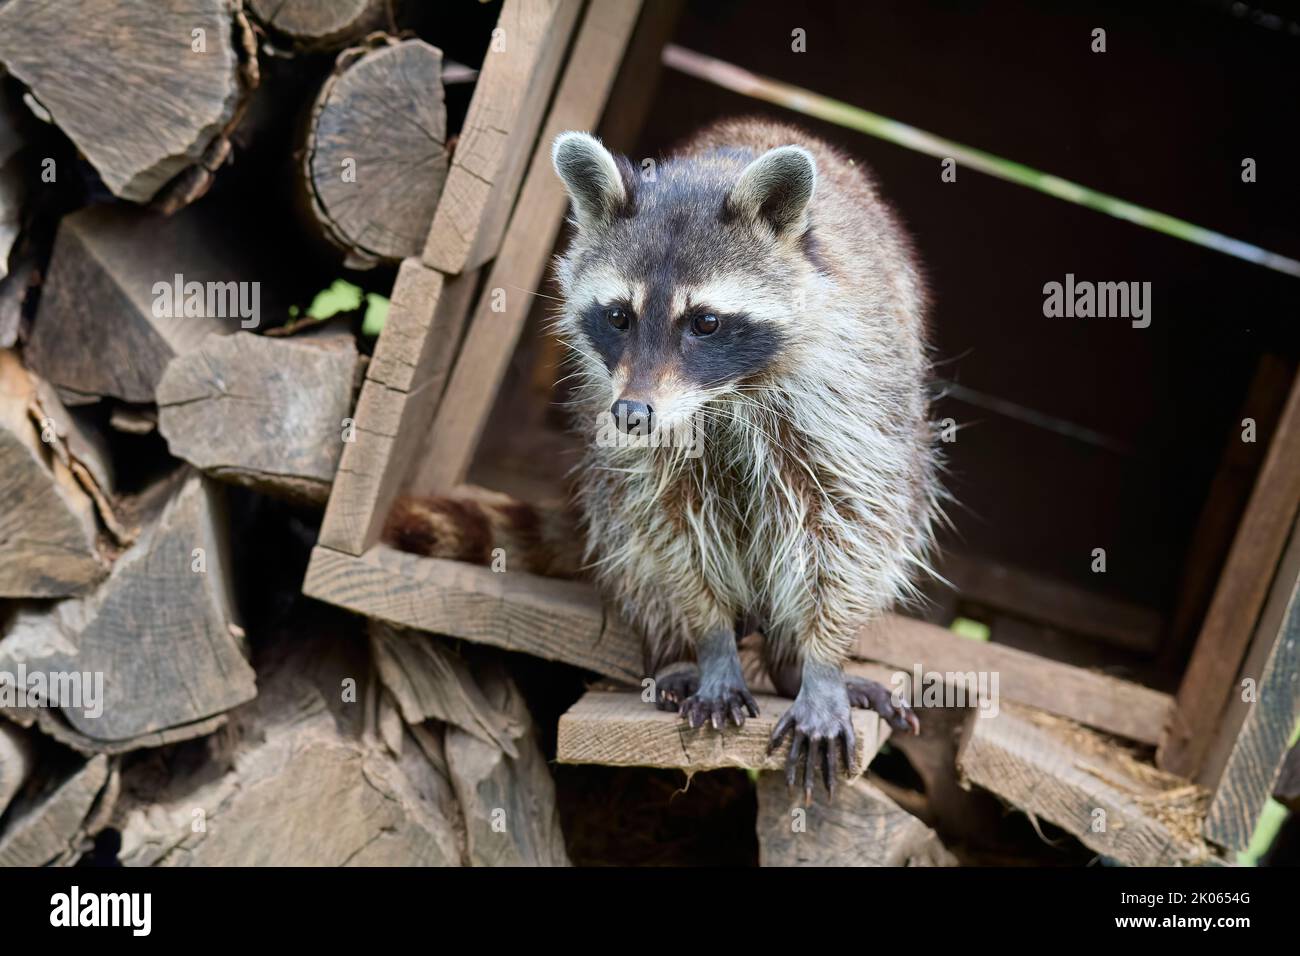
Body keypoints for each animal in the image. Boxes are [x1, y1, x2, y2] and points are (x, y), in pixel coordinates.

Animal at [388, 118, 940, 798]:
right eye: (618, 317)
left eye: (705, 322)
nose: (633, 414)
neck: (719, 400)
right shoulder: (631, 432)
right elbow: (669, 531)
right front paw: (710, 643)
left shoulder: (848, 397)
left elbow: (847, 529)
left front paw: (820, 666)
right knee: (626, 528)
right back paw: (679, 654)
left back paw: (787, 665)